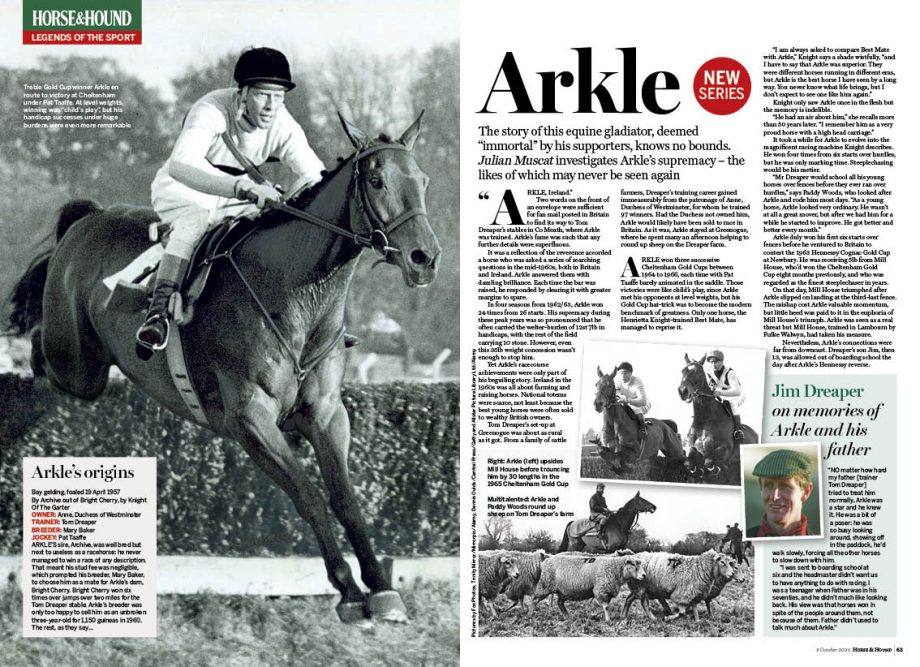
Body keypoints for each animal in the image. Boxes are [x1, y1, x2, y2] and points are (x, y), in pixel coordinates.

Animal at [8, 113, 440, 624]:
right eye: (376, 181)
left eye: (423, 180)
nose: (424, 258)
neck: (294, 294)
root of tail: (87, 217)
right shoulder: (250, 420)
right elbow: (309, 496)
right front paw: (349, 591)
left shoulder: (326, 414)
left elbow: (345, 499)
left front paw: (382, 588)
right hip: (78, 365)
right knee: (42, 354)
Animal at [677, 353, 758, 484]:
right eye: (682, 371)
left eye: (699, 373)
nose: (682, 391)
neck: (705, 421)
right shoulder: (693, 449)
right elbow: (688, 463)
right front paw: (698, 470)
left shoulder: (724, 450)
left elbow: (710, 461)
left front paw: (716, 468)